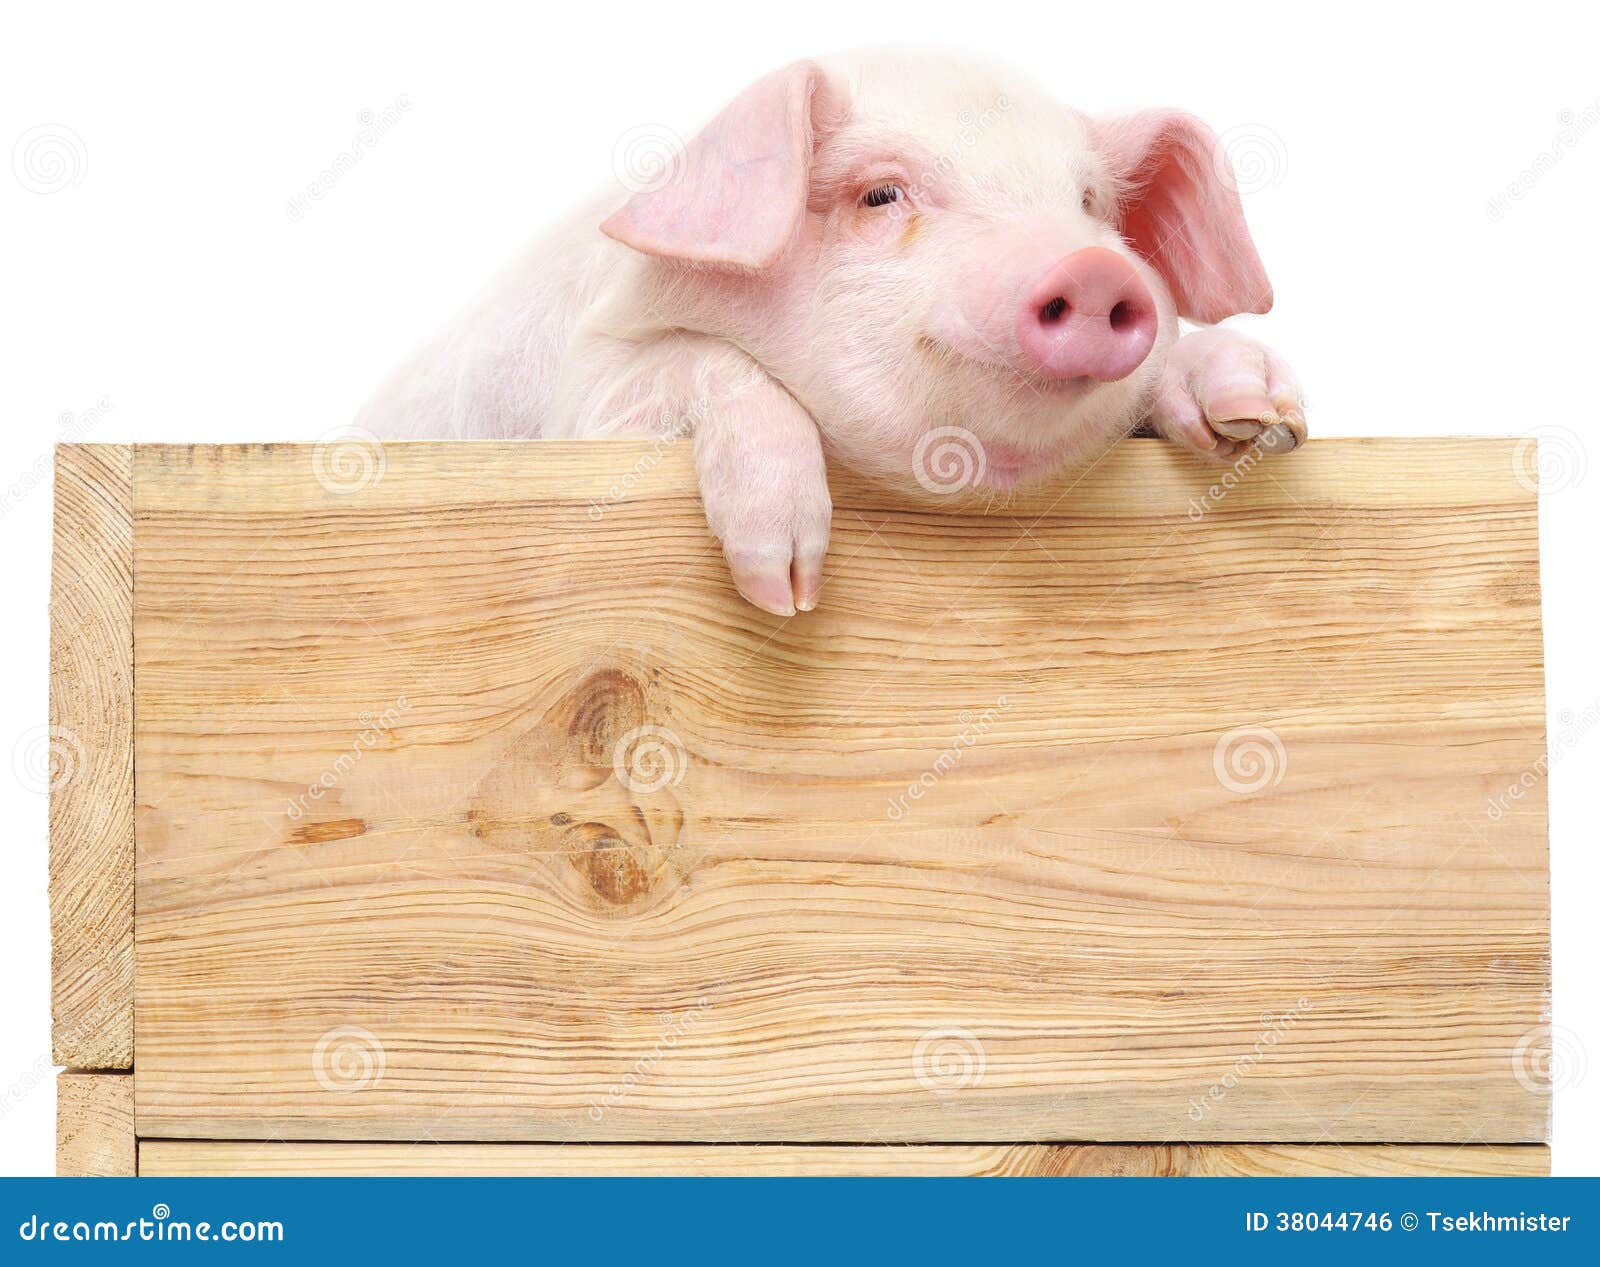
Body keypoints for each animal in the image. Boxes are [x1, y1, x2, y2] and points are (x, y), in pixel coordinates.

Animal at [358, 50, 1306, 616]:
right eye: (880, 194)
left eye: (1088, 204)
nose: (1092, 267)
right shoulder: (583, 404)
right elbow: (701, 363)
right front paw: (786, 589)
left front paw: (1260, 419)